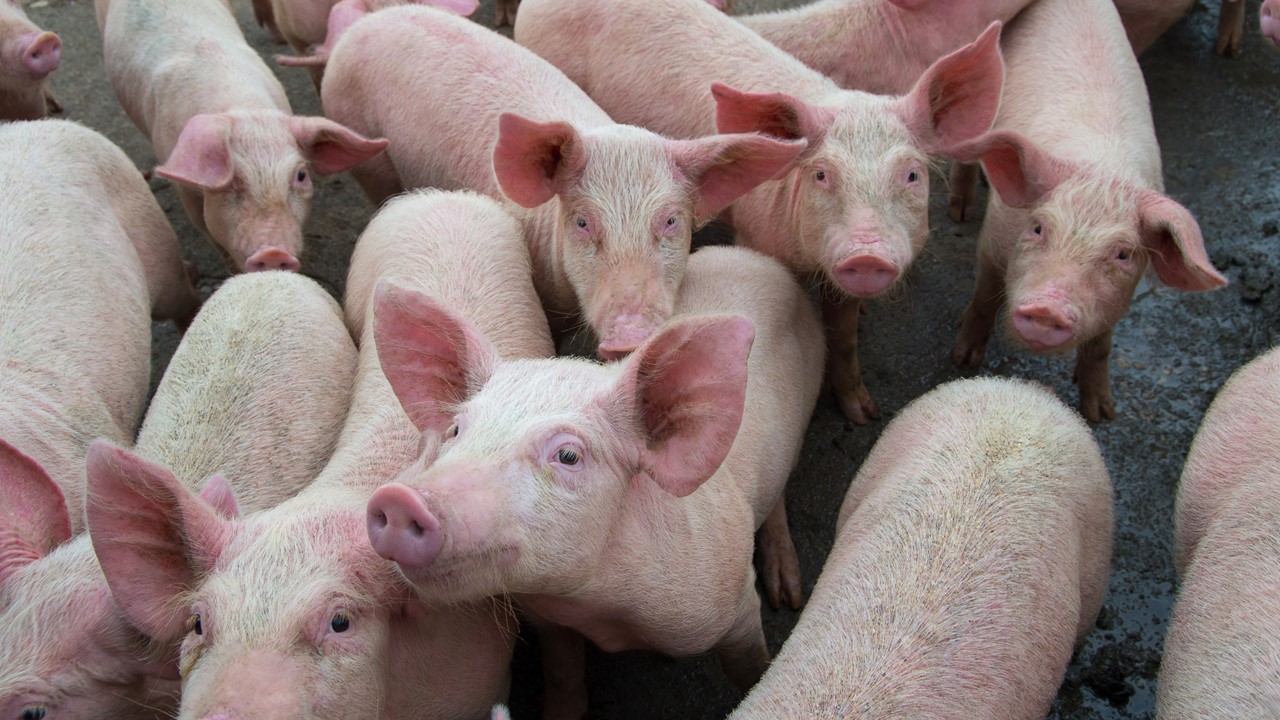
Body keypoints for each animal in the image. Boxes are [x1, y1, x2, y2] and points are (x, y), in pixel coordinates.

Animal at [365, 245, 825, 718]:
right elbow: (562, 672)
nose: (400, 499)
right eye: (457, 430)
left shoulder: (734, 605)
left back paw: (787, 592)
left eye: (569, 455)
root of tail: (750, 255)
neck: (595, 610)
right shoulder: (549, 620)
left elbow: (748, 666)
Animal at [514, 0, 1004, 423]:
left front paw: (865, 414)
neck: (809, 261)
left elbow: (845, 336)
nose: (867, 253)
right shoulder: (754, 231)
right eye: (821, 174)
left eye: (911, 174)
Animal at [945, 0, 1226, 422]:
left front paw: (1101, 412)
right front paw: (964, 360)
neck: (1102, 171)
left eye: (1123, 253)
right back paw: (959, 210)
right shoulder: (993, 240)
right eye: (1038, 228)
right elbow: (984, 297)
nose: (1048, 308)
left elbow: (1101, 346)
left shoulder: (1121, 299)